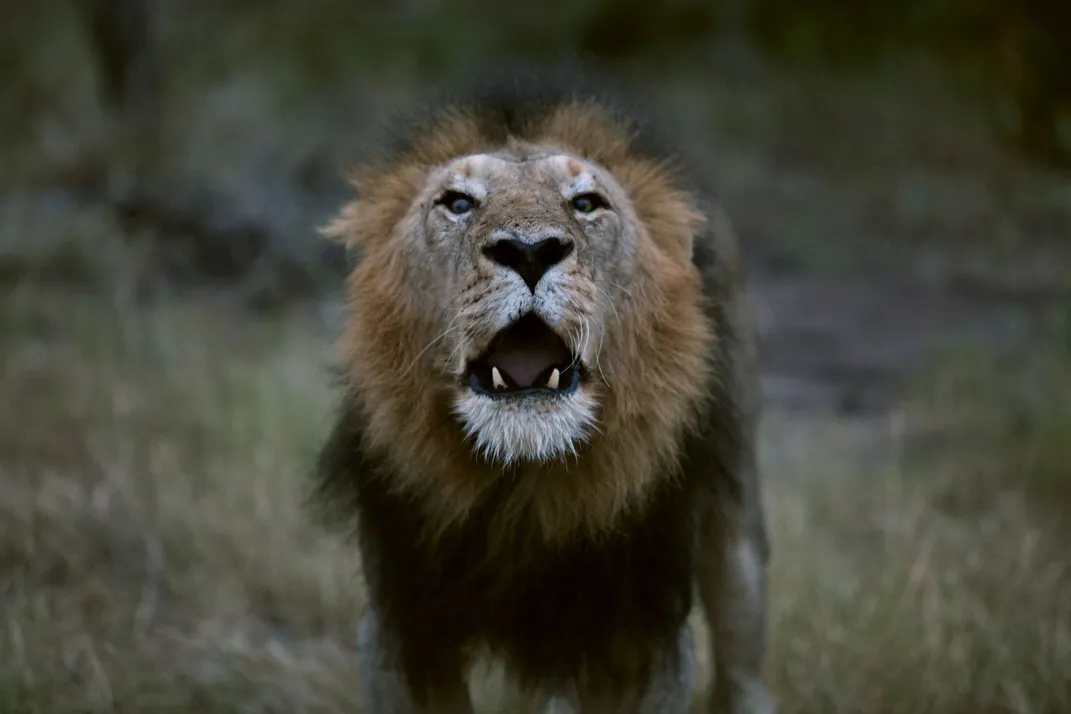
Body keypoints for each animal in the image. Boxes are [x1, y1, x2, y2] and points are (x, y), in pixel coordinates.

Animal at [313, 76, 776, 714]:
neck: (523, 487)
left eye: (586, 204)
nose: (530, 250)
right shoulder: (402, 625)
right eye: (458, 203)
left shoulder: (641, 632)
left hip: (738, 545)